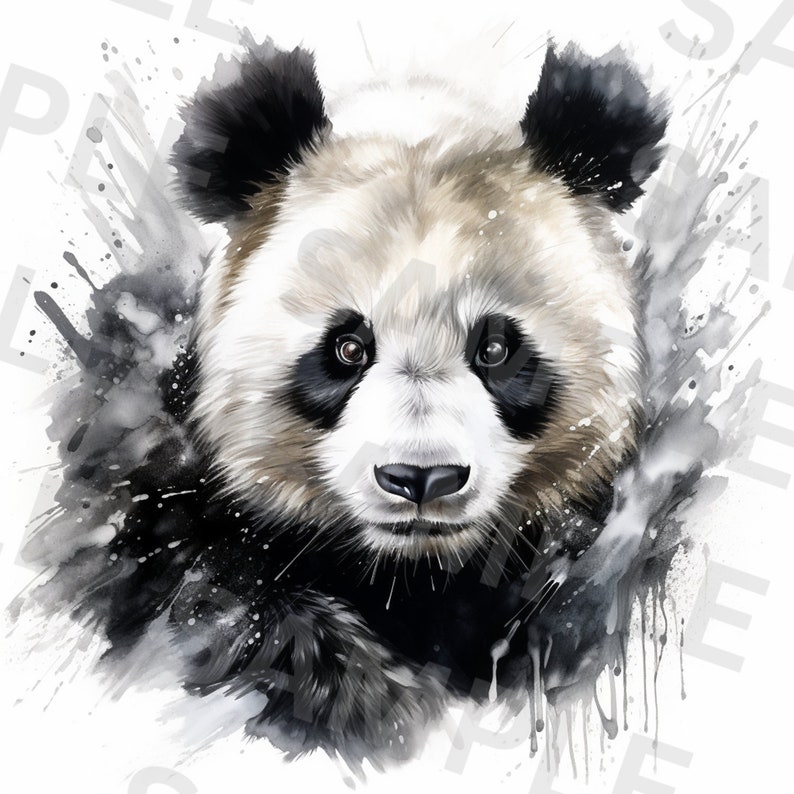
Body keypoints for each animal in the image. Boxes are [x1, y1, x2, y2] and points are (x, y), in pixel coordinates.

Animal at [42, 39, 669, 763]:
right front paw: (364, 699)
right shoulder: (157, 481)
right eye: (347, 348)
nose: (421, 479)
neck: (411, 573)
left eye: (494, 349)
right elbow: (212, 589)